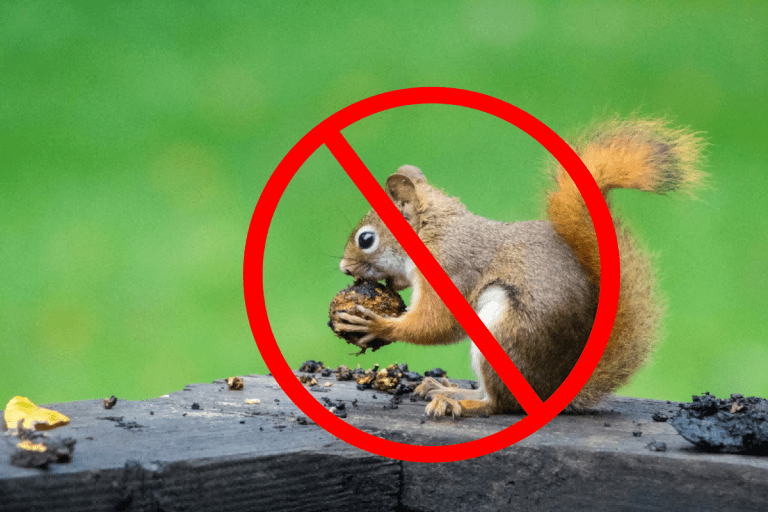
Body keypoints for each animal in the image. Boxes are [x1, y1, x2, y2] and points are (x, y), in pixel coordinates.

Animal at [333, 118, 705, 417]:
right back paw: (445, 388)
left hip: (505, 334)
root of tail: (553, 391)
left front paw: (377, 324)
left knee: (499, 404)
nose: (344, 267)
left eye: (366, 239)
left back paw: (460, 402)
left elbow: (436, 324)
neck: (434, 232)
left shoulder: (452, 268)